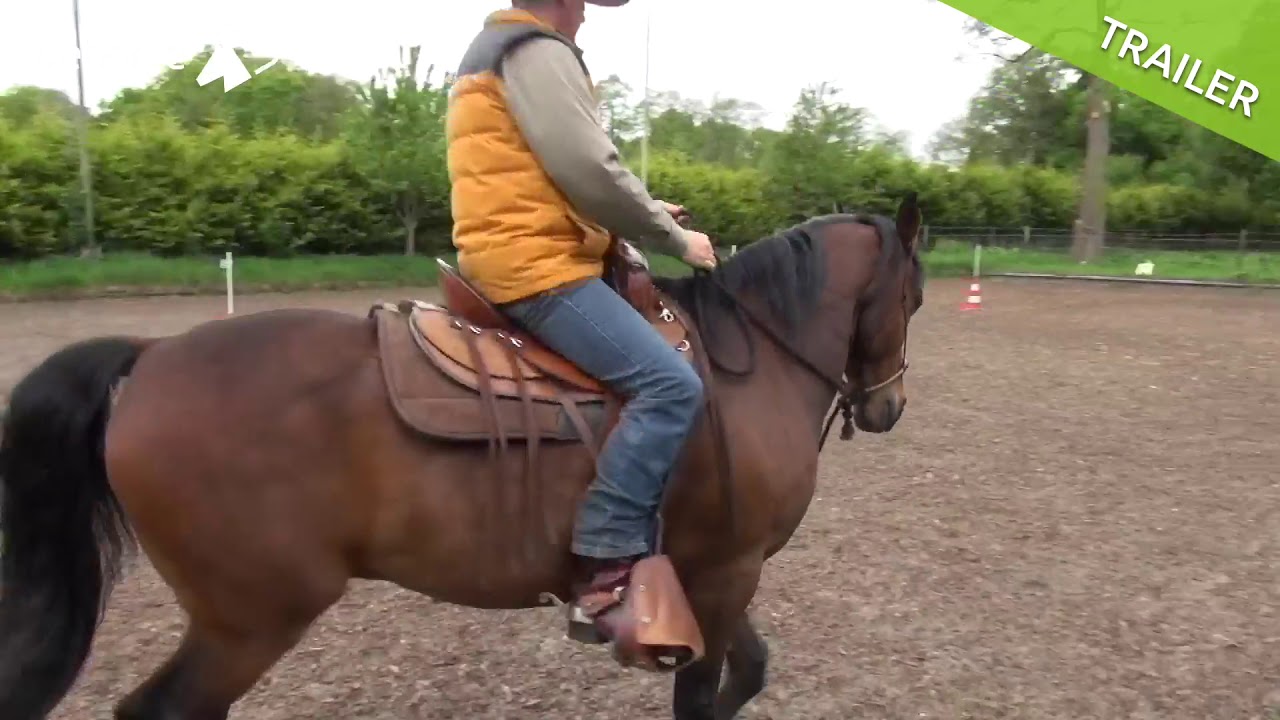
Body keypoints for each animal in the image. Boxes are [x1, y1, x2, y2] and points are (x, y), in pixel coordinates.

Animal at [0, 192, 926, 720]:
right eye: (914, 296)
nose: (887, 407)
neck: (748, 361)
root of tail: (153, 353)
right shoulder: (729, 569)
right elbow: (702, 697)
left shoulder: (714, 567)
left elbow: (751, 669)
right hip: (249, 620)